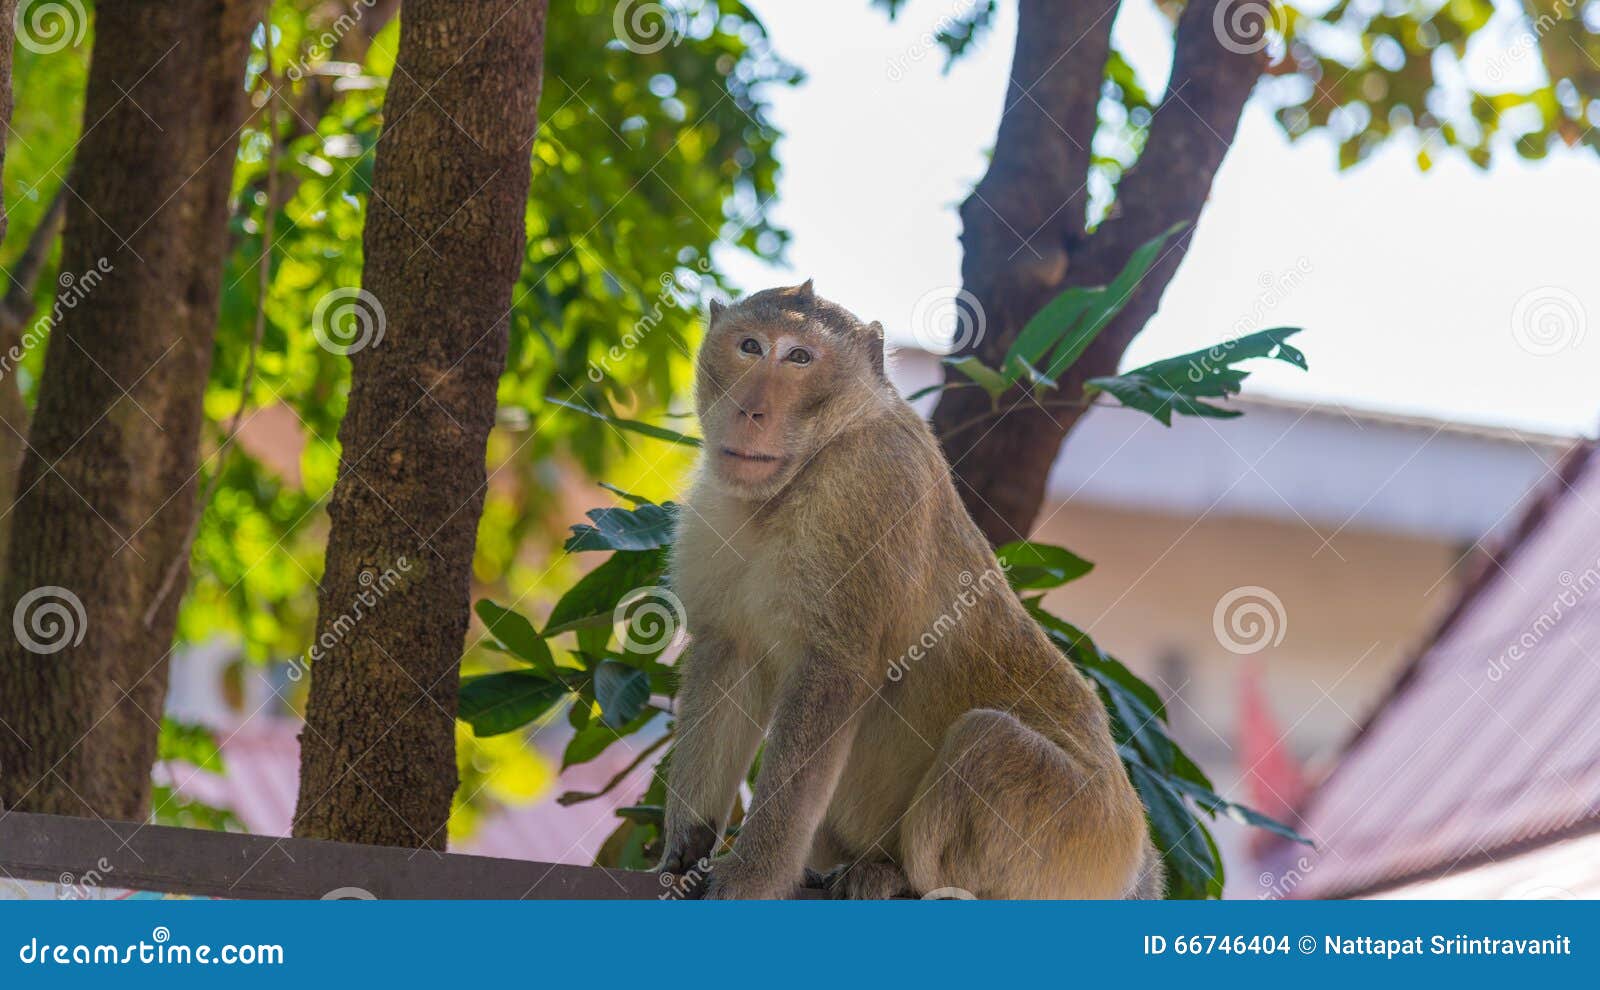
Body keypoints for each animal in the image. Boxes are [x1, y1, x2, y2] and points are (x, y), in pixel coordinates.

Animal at [657, 280, 1161, 899]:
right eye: (750, 346)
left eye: (799, 357)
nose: (749, 410)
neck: (798, 477)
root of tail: (1133, 850)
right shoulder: (716, 505)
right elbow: (729, 655)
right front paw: (688, 846)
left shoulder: (873, 485)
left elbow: (833, 675)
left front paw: (753, 874)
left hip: (1077, 836)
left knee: (987, 741)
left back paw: (903, 878)